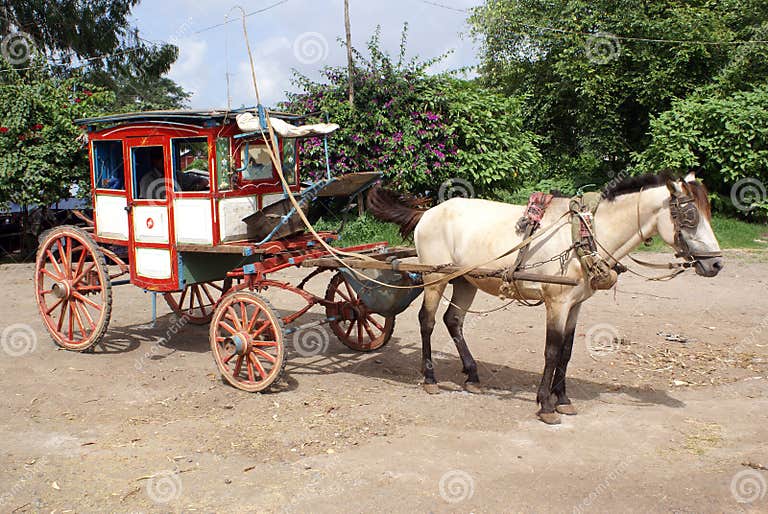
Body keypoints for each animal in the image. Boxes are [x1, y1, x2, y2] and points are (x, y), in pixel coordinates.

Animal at [367, 172, 724, 424]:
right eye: (689, 216)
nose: (716, 264)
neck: (585, 235)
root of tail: (429, 212)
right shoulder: (557, 302)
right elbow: (551, 352)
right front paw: (546, 405)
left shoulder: (576, 304)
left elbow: (566, 351)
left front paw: (563, 400)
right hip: (434, 278)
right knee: (426, 322)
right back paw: (430, 378)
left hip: (466, 280)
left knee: (452, 321)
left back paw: (473, 375)